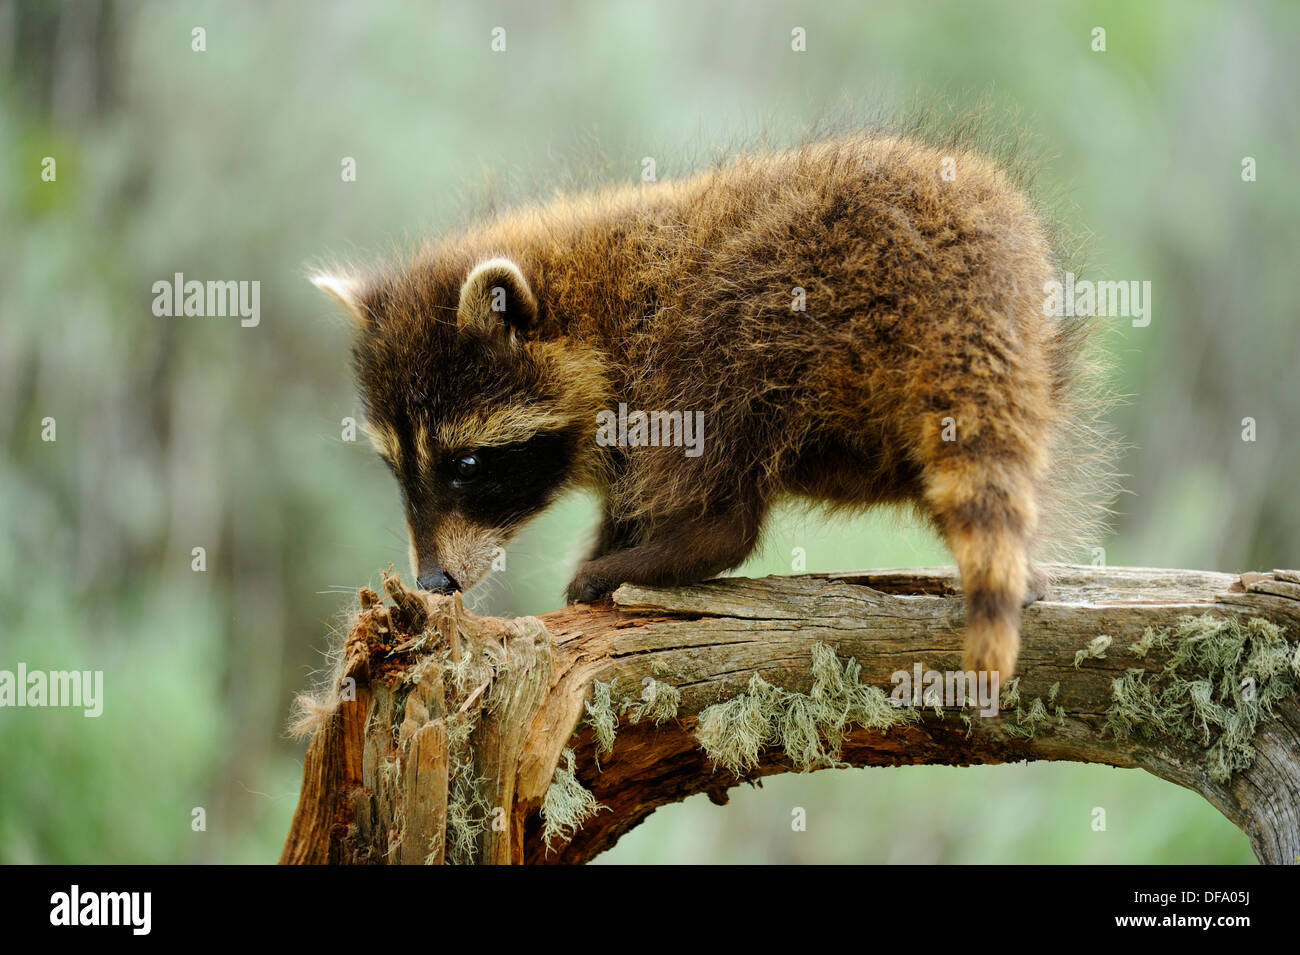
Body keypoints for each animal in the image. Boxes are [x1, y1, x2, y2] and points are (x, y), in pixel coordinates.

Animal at [314, 132, 1116, 678]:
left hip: (788, 292)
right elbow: (627, 497)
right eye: (395, 468)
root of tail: (957, 279)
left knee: (718, 372)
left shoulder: (647, 373)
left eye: (469, 464)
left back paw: (697, 541)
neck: (588, 302)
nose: (433, 582)